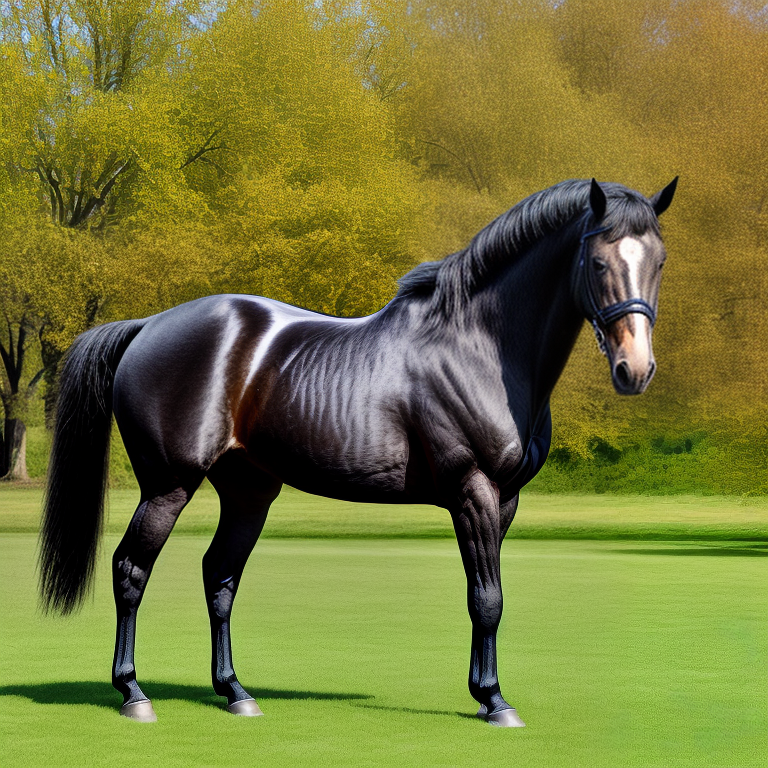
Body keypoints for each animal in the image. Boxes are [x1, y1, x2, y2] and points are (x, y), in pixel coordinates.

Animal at [39, 177, 678, 726]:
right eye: (598, 262)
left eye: (659, 261)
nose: (636, 369)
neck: (476, 345)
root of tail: (148, 325)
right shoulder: (472, 490)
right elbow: (487, 598)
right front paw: (495, 701)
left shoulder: (506, 499)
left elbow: (488, 595)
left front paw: (485, 693)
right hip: (168, 485)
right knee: (131, 570)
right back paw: (133, 692)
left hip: (248, 492)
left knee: (219, 576)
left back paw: (235, 692)